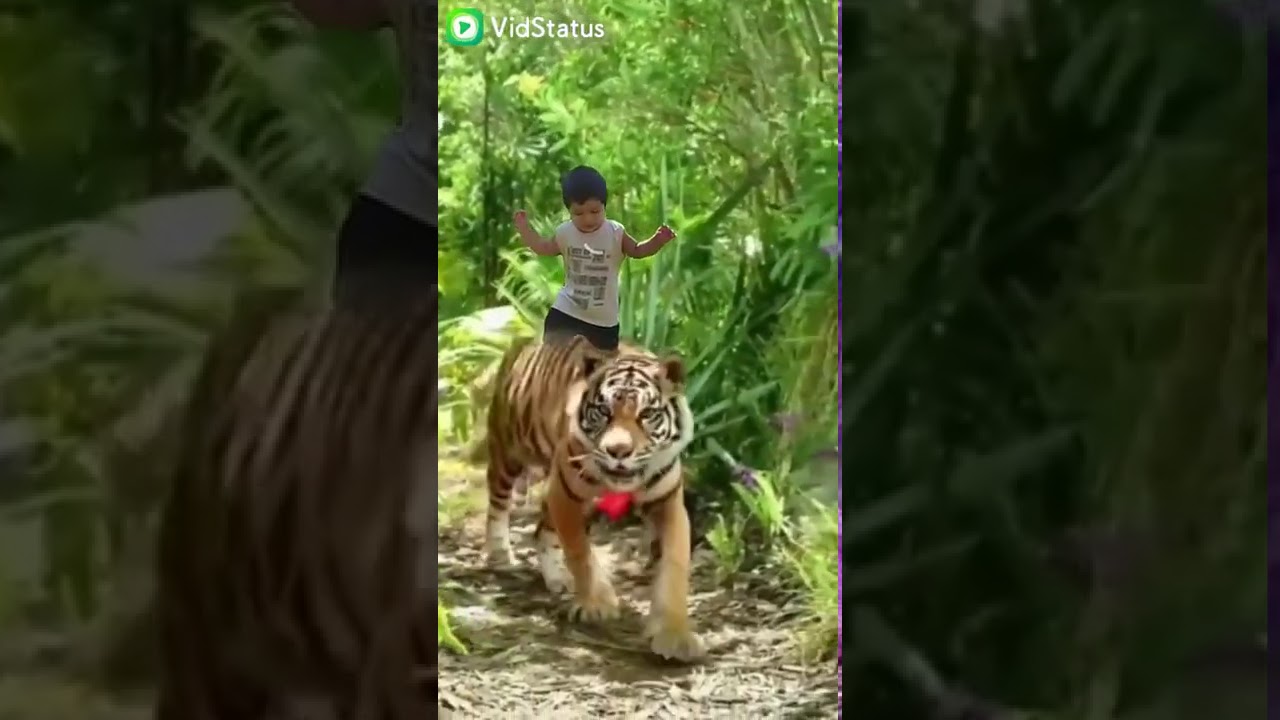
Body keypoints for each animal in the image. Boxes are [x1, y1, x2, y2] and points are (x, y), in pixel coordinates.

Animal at [483, 334, 706, 662]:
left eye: (646, 415)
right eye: (603, 412)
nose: (618, 451)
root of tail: (524, 342)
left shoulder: (668, 502)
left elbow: (674, 566)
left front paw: (675, 634)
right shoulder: (566, 493)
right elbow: (580, 552)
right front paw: (596, 605)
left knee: (541, 530)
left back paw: (557, 578)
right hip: (509, 451)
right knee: (498, 500)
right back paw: (500, 554)